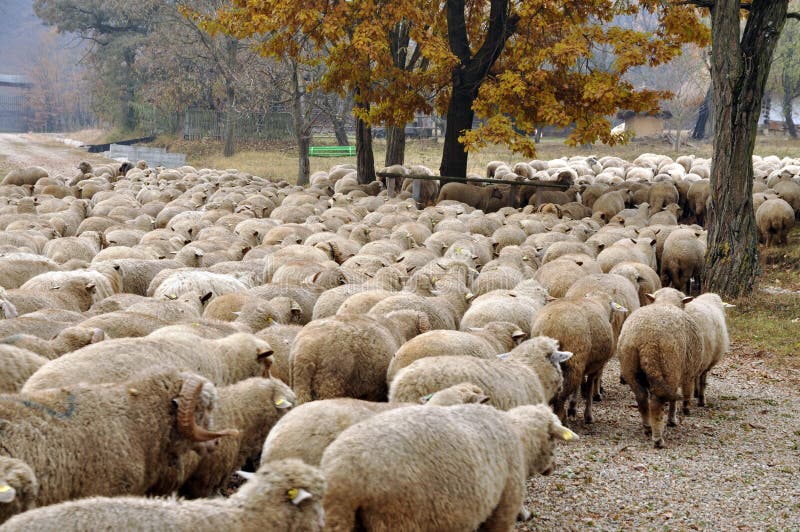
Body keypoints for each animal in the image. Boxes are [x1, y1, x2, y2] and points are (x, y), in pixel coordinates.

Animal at [321, 403, 577, 531]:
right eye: (553, 440)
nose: (553, 467)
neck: (520, 439)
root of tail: (341, 474)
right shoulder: (503, 506)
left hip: (346, 521)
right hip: (397, 519)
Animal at [618, 288, 703, 448]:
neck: (666, 302)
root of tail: (646, 341)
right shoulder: (688, 373)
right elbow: (681, 395)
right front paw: (673, 419)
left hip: (629, 365)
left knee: (642, 397)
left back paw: (647, 426)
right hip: (669, 368)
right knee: (657, 402)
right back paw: (658, 439)